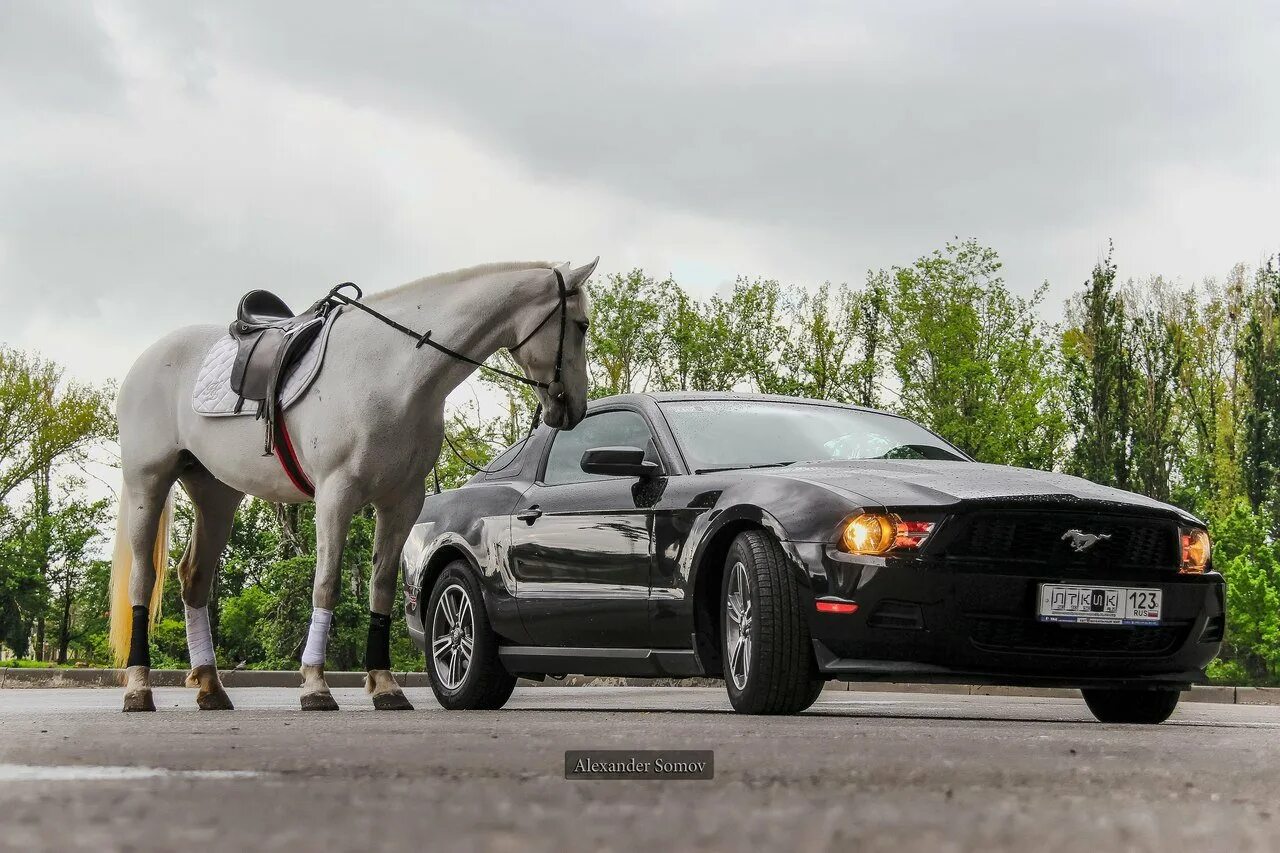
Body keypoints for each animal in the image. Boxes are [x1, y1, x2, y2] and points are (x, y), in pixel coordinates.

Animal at [108, 258, 593, 712]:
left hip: (216, 495)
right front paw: (315, 685)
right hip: (148, 483)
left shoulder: (401, 502)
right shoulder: (336, 496)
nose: (574, 408)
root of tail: (148, 358)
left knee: (195, 579)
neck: (392, 371)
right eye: (581, 325)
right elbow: (326, 584)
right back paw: (139, 687)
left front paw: (385, 684)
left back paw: (210, 686)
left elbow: (381, 587)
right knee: (143, 580)